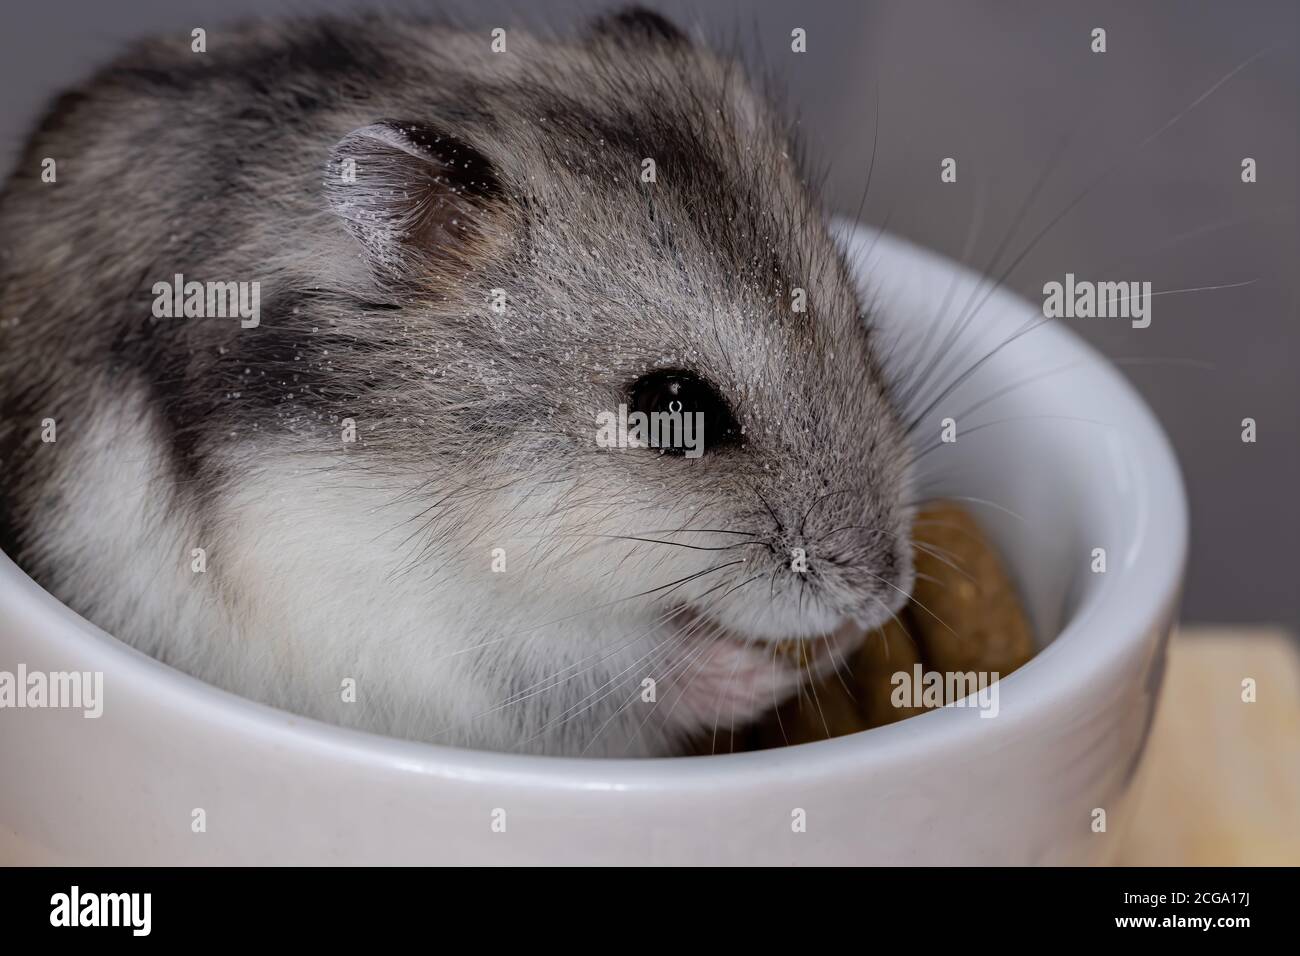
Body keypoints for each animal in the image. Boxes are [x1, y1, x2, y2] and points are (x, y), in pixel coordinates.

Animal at [0, 9, 915, 757]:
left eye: (861, 324)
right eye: (674, 410)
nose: (879, 599)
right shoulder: (394, 616)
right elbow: (622, 673)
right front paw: (780, 666)